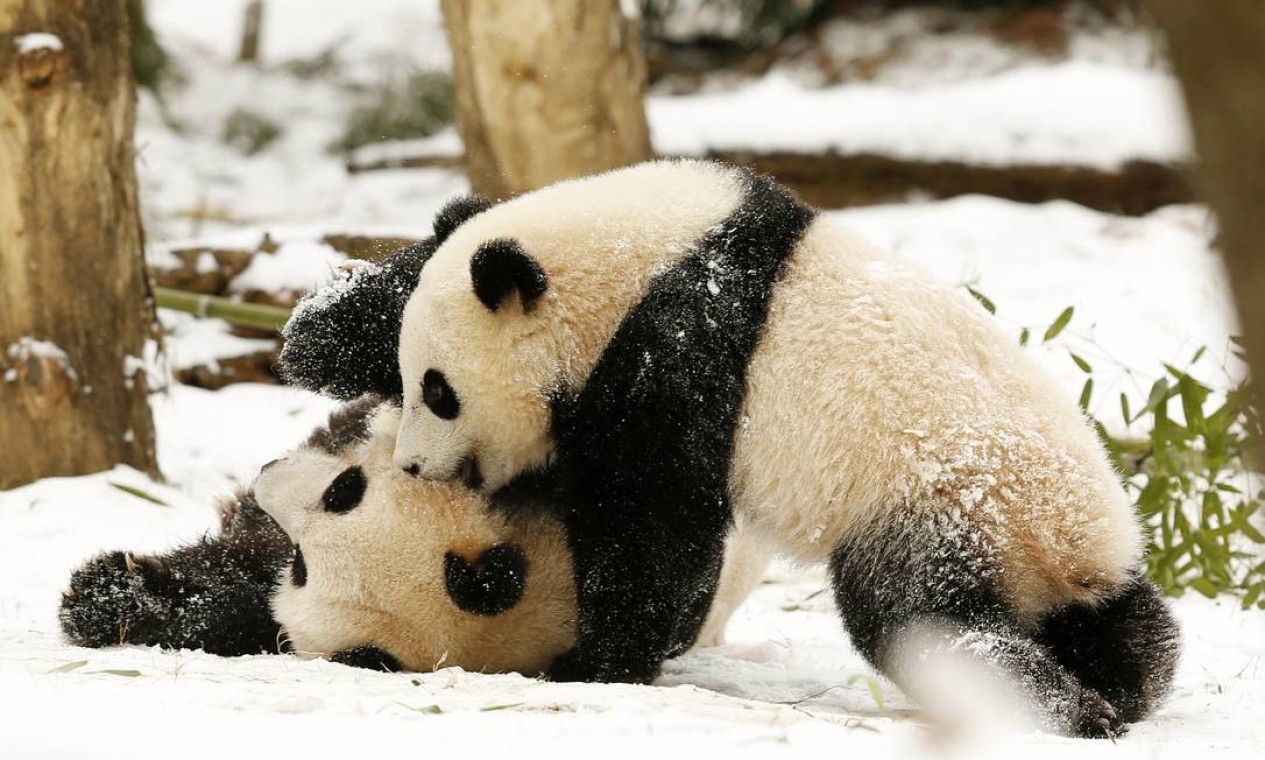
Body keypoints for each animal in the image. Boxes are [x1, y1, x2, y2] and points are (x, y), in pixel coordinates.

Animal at [381, 159, 1180, 736]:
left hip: (936, 501)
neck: (631, 264)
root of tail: (1063, 544)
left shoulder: (677, 353)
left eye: (438, 390)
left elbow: (651, 524)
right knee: (1121, 625)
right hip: (1048, 543)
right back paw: (1122, 687)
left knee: (922, 619)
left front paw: (595, 660)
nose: (411, 465)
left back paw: (1066, 709)